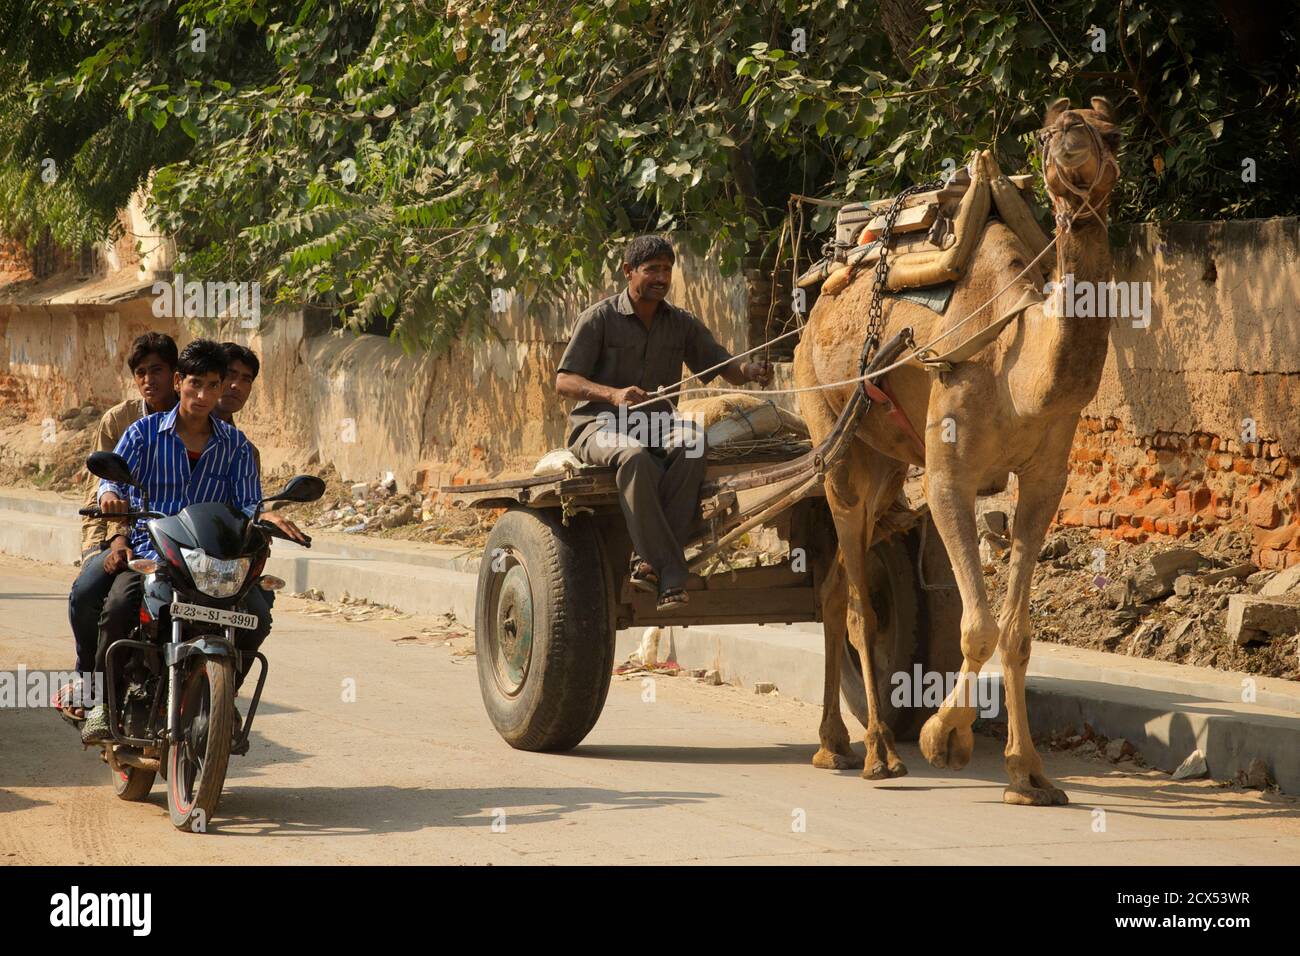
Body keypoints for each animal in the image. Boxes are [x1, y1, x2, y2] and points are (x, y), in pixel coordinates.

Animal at [794, 97, 1123, 805]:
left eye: (1113, 134)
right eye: (1049, 134)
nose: (1076, 147)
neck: (1015, 362)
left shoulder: (1047, 481)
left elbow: (1017, 633)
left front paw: (1030, 776)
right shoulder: (950, 472)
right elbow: (979, 625)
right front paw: (943, 739)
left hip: (887, 462)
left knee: (835, 587)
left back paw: (833, 744)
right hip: (827, 427)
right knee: (859, 600)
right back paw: (879, 752)